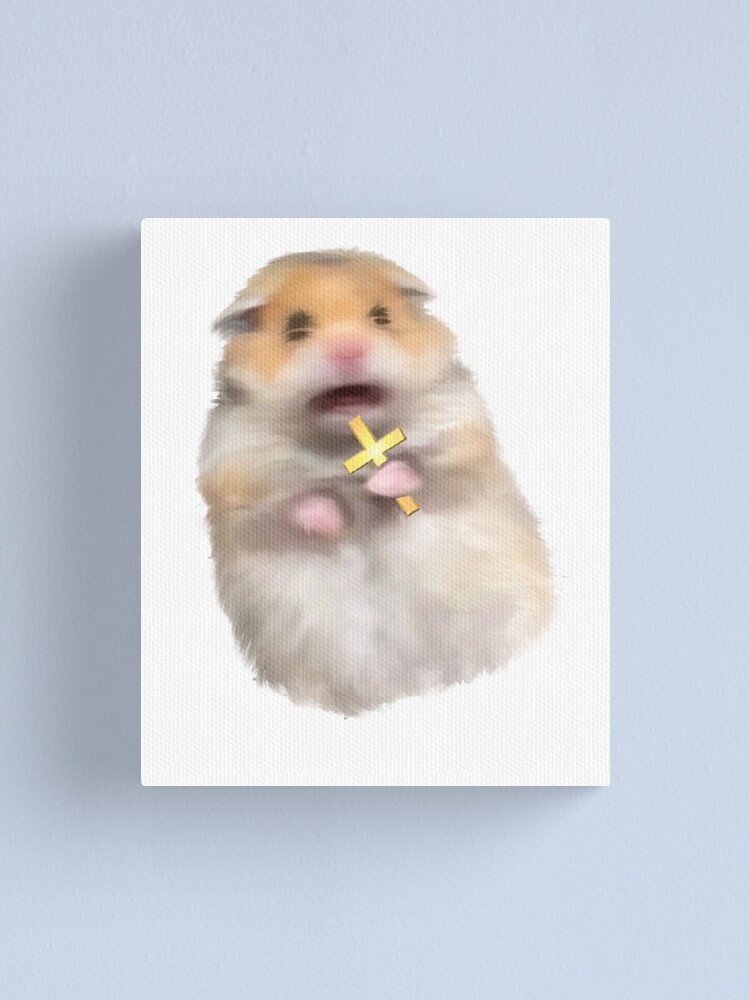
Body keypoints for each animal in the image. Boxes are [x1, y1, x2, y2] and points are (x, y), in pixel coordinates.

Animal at [198, 249, 553, 715]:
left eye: (382, 317)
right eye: (295, 329)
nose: (350, 350)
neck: (343, 447)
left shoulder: (464, 442)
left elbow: (421, 467)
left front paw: (381, 484)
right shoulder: (233, 480)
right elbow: (291, 502)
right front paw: (332, 520)